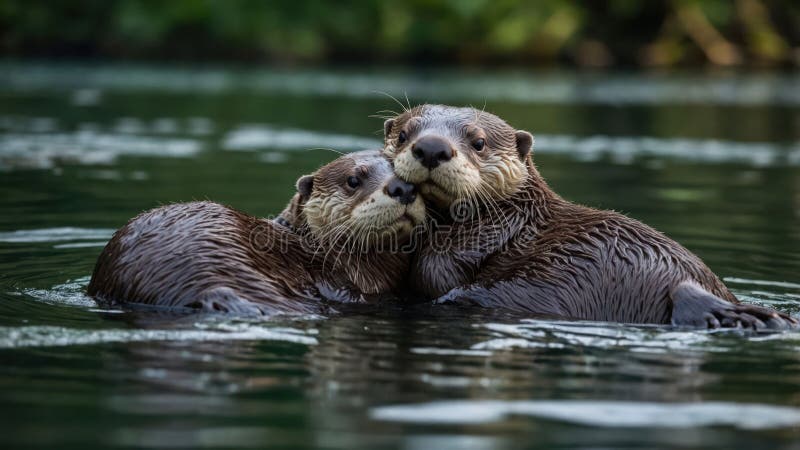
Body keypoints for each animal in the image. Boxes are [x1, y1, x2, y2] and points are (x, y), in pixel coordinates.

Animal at [382, 104, 797, 330]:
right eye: (403, 134)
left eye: (479, 142)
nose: (431, 147)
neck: (512, 217)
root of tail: (685, 284)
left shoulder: (474, 243)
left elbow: (432, 273)